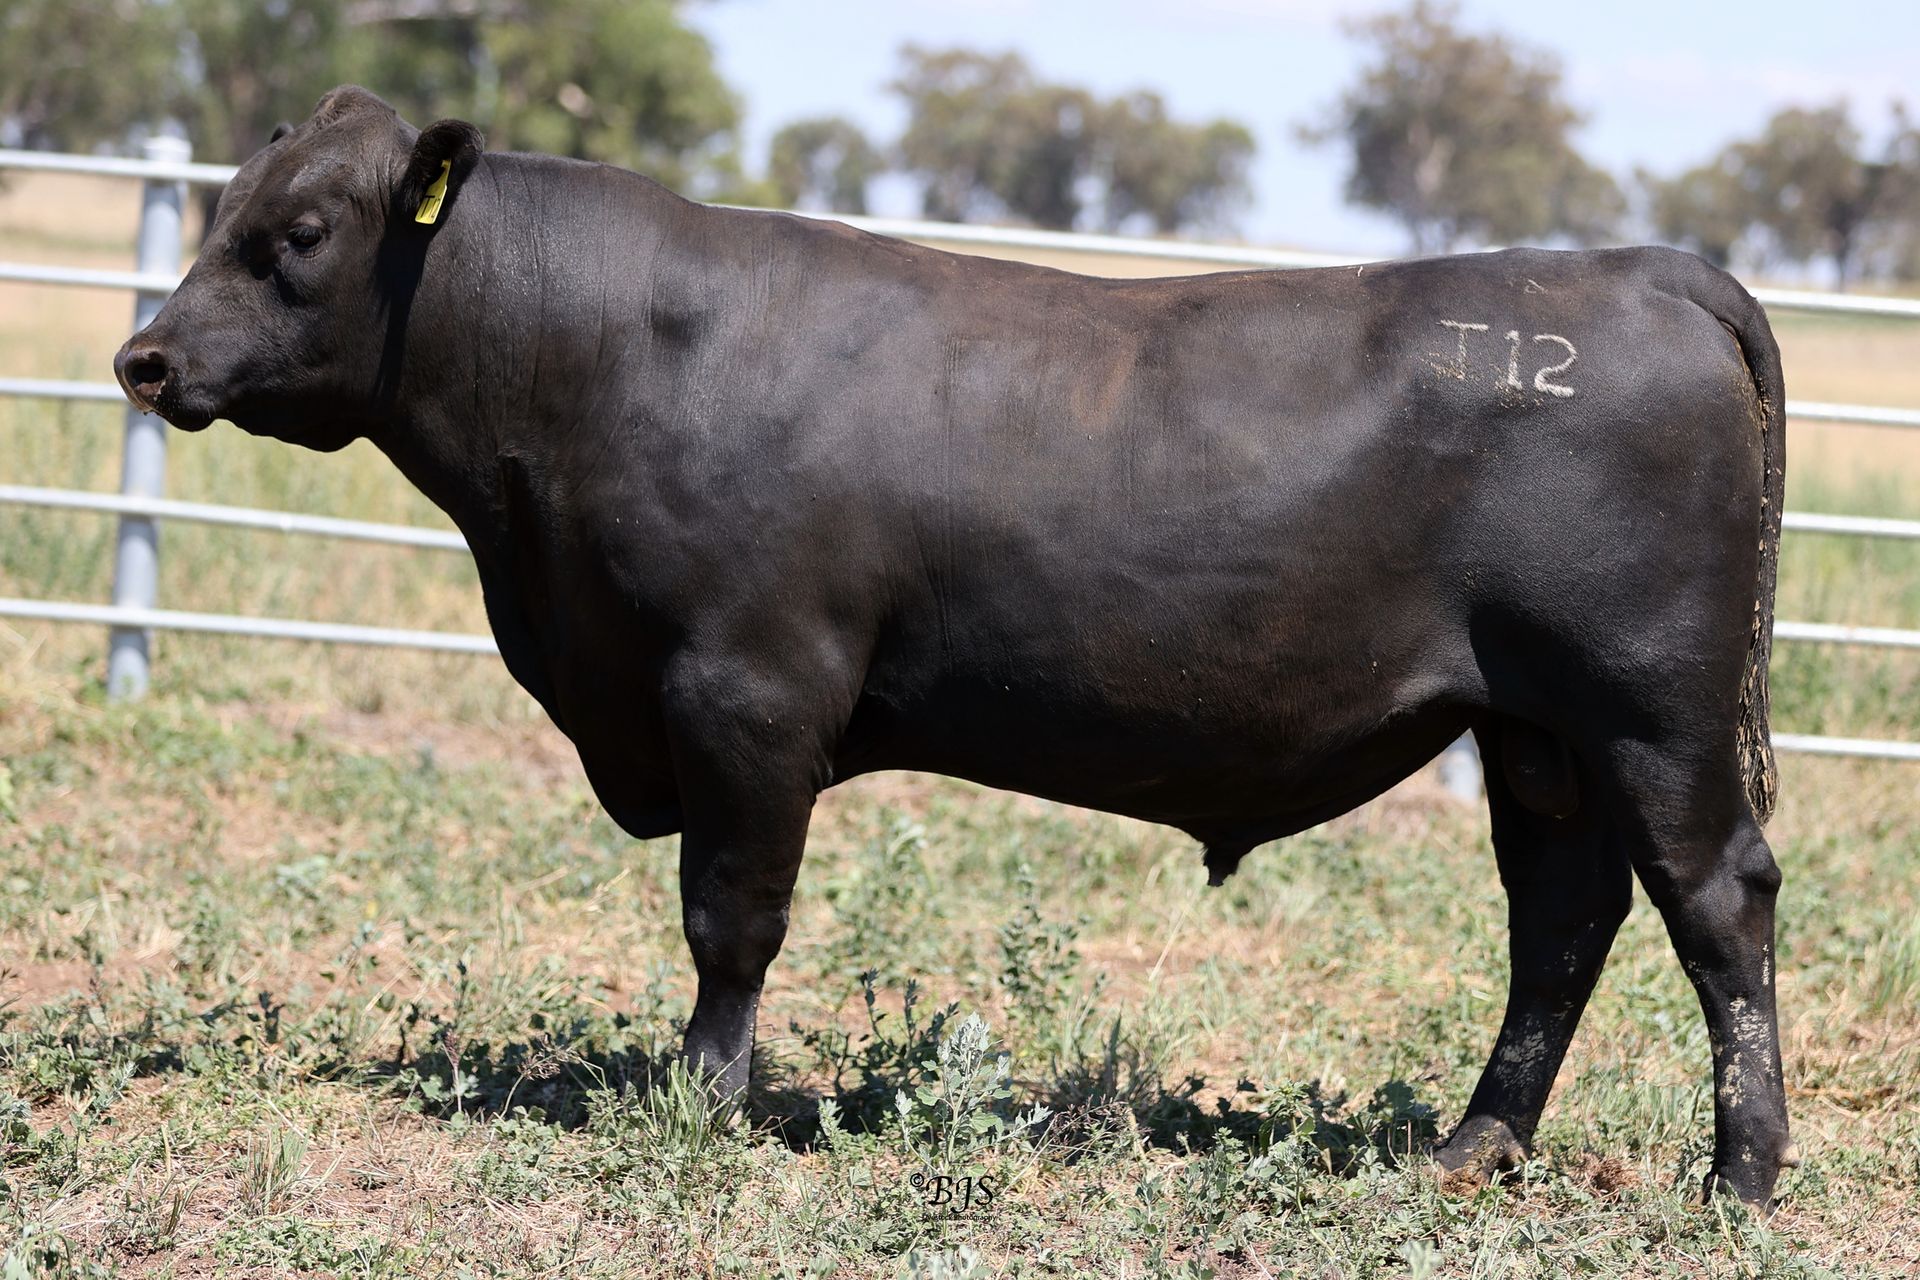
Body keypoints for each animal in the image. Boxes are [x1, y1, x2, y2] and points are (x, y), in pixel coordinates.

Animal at [115, 87, 1793, 1206]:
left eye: (299, 233)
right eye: (223, 211)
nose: (145, 357)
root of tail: (1643, 269)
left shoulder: (748, 690)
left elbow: (731, 919)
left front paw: (706, 1104)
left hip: (1649, 711)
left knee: (1718, 906)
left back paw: (1742, 1176)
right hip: (1538, 733)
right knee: (1561, 922)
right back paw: (1471, 1148)